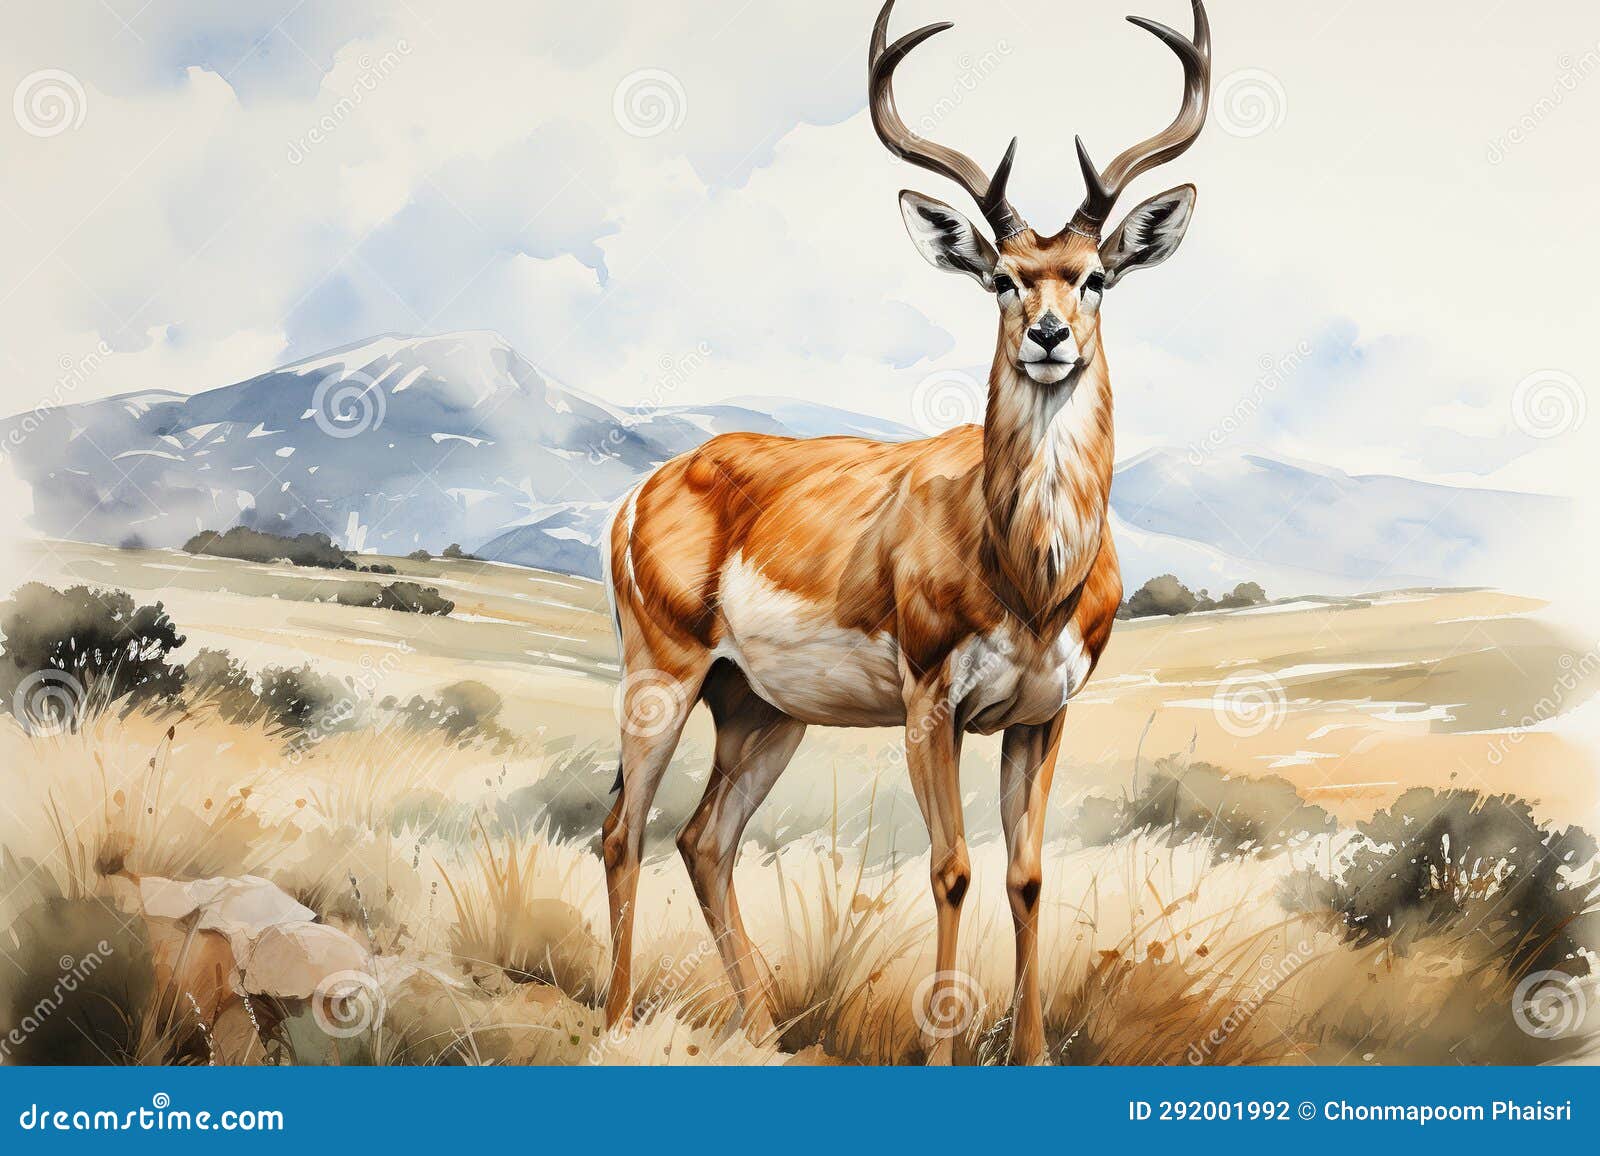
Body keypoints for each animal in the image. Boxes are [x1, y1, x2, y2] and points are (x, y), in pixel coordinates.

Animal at [600, 0, 1211, 1064]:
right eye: (1002, 278)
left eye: (1096, 276)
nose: (1050, 335)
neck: (1030, 573)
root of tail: (650, 487)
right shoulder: (933, 703)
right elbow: (951, 867)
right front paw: (940, 1051)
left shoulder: (1041, 715)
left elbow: (1026, 874)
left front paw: (1031, 1052)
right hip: (662, 678)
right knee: (622, 833)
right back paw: (616, 1021)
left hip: (760, 711)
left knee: (704, 839)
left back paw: (763, 1032)